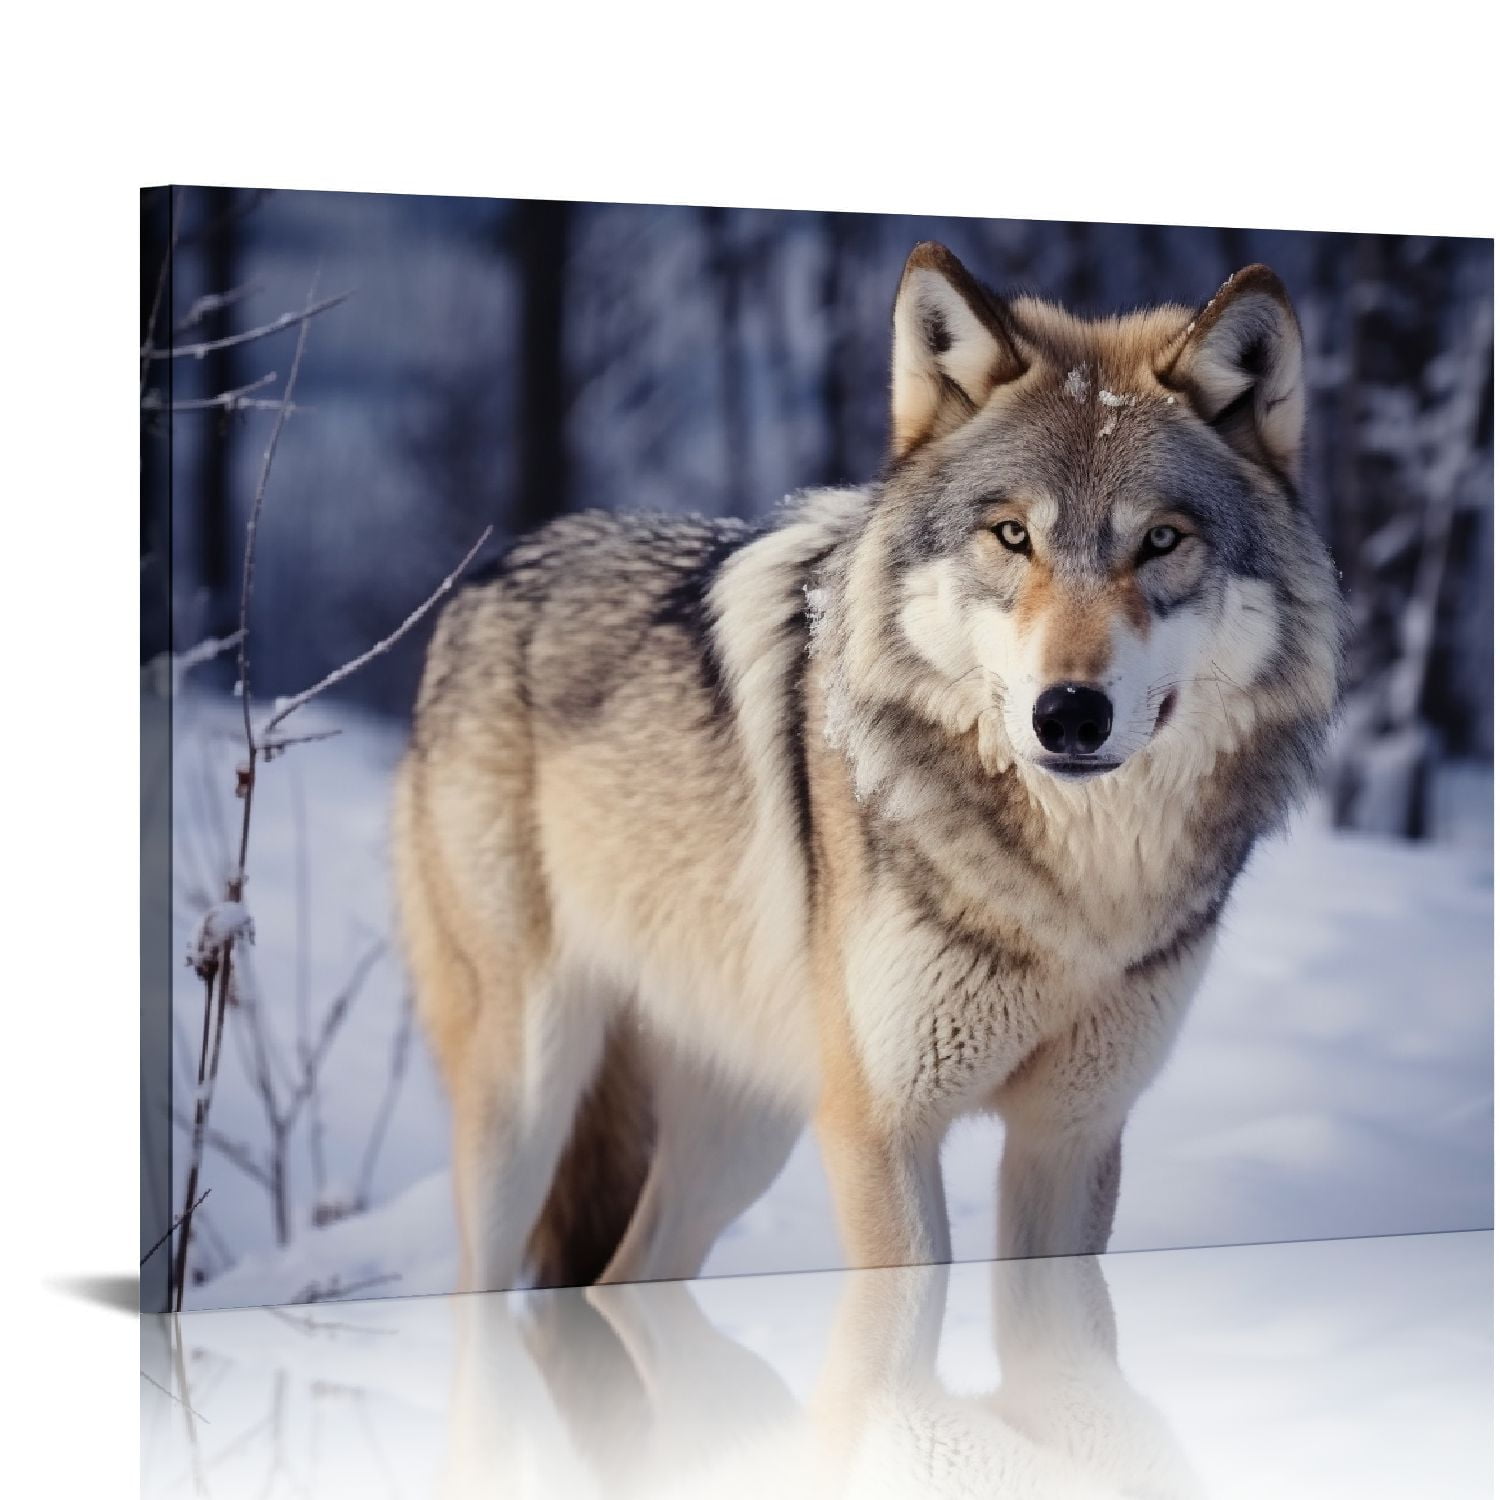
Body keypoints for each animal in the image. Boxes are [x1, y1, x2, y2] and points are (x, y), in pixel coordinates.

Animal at [393, 241, 1344, 1294]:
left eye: (1161, 541)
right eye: (1013, 535)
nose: (1069, 713)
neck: (1075, 894)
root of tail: (492, 568)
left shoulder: (1072, 1137)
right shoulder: (880, 1129)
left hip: (744, 1128)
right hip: (529, 1099)